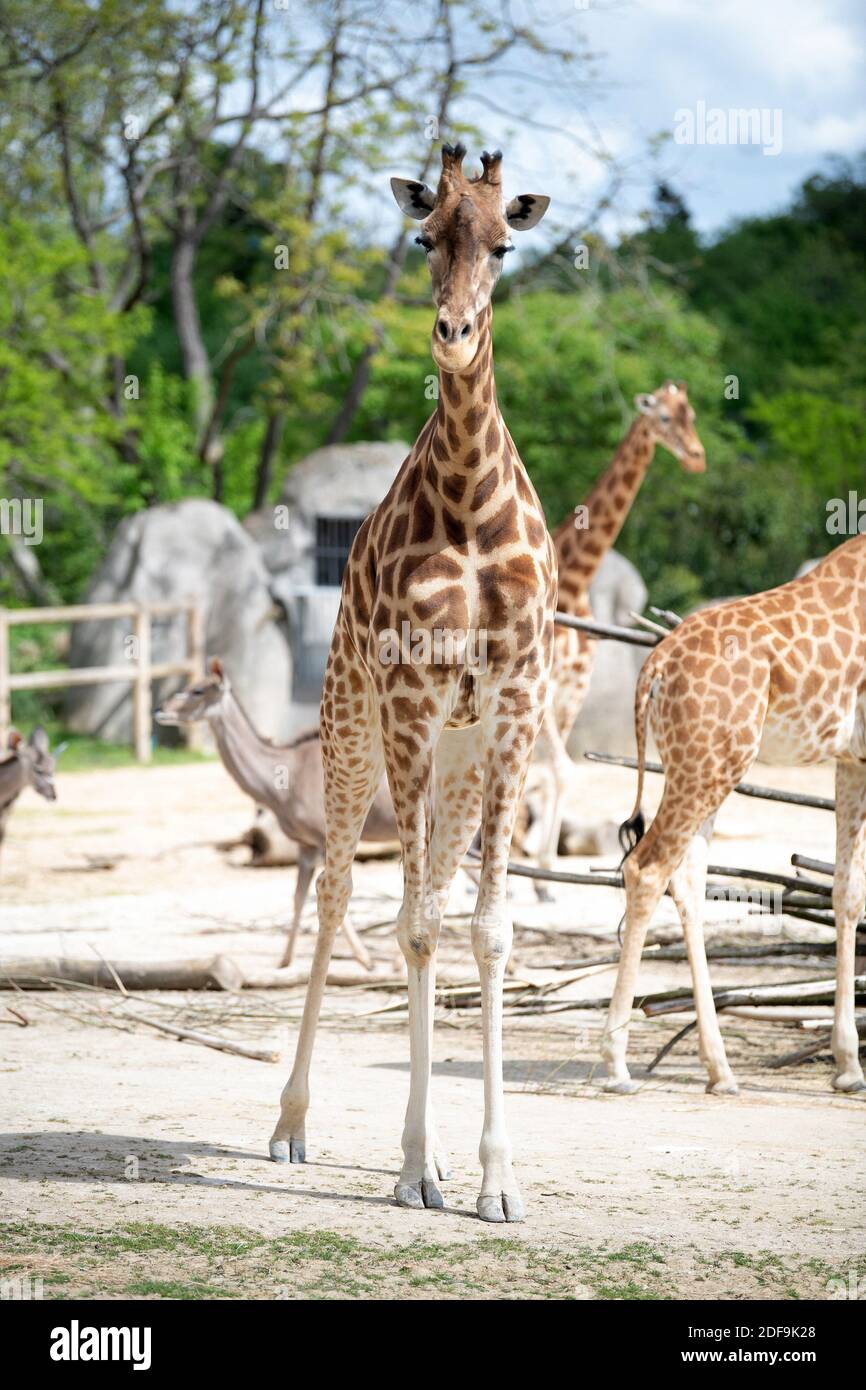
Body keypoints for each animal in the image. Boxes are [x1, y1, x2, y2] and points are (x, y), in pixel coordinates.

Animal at [268, 144, 556, 1222]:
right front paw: (415, 1168)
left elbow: (487, 930)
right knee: (346, 896)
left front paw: (495, 1179)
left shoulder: (510, 702)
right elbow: (420, 927)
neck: (469, 498)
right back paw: (292, 1125)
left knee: (419, 895)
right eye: (426, 237)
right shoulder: (407, 699)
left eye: (505, 246)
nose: (453, 335)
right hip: (351, 725)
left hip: (461, 757)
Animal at [529, 383, 706, 890]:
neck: (574, 582)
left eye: (690, 415)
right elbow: (557, 770)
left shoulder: (571, 691)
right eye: (663, 418)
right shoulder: (541, 686)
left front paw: (542, 877)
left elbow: (556, 774)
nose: (697, 457)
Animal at [601, 532, 866, 1096]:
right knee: (648, 868)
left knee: (687, 877)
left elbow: (846, 892)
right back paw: (617, 1066)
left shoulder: (853, 757)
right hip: (713, 764)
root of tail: (655, 666)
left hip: (695, 764)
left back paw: (719, 1069)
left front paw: (849, 1066)